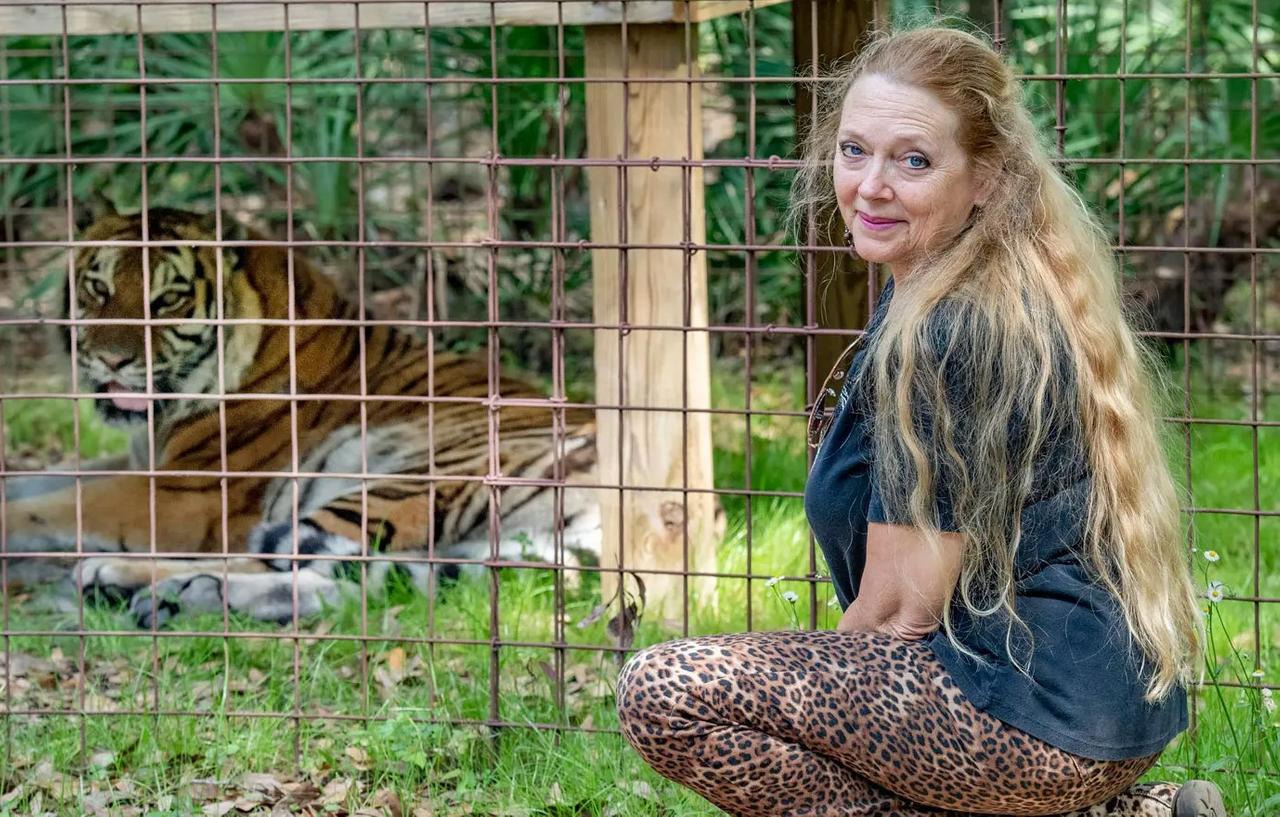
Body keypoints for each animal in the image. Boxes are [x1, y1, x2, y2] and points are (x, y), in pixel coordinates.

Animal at [3, 206, 602, 626]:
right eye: (98, 288)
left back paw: (125, 579)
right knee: (350, 586)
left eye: (167, 300)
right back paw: (177, 595)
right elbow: (39, 482)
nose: (110, 360)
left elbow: (52, 508)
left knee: (296, 561)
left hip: (408, 480)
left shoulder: (183, 494)